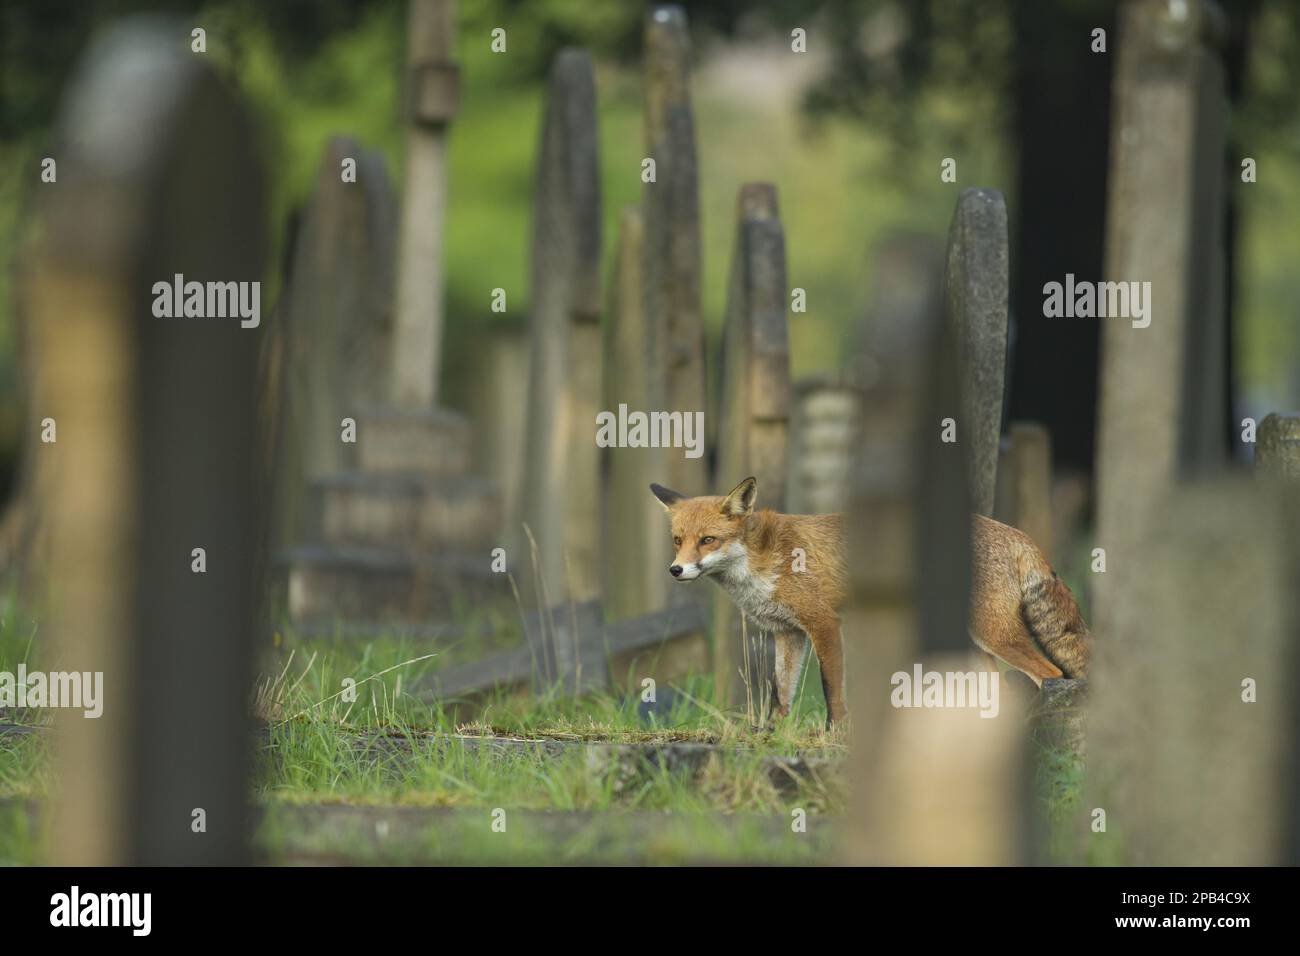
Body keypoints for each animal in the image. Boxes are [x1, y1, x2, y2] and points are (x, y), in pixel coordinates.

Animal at [650, 476, 1091, 728]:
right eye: (677, 540)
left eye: (708, 540)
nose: (675, 570)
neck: (761, 560)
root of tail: (1019, 534)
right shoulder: (788, 633)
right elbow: (781, 693)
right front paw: (770, 735)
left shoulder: (824, 623)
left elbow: (832, 690)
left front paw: (835, 735)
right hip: (974, 643)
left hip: (994, 635)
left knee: (1052, 675)